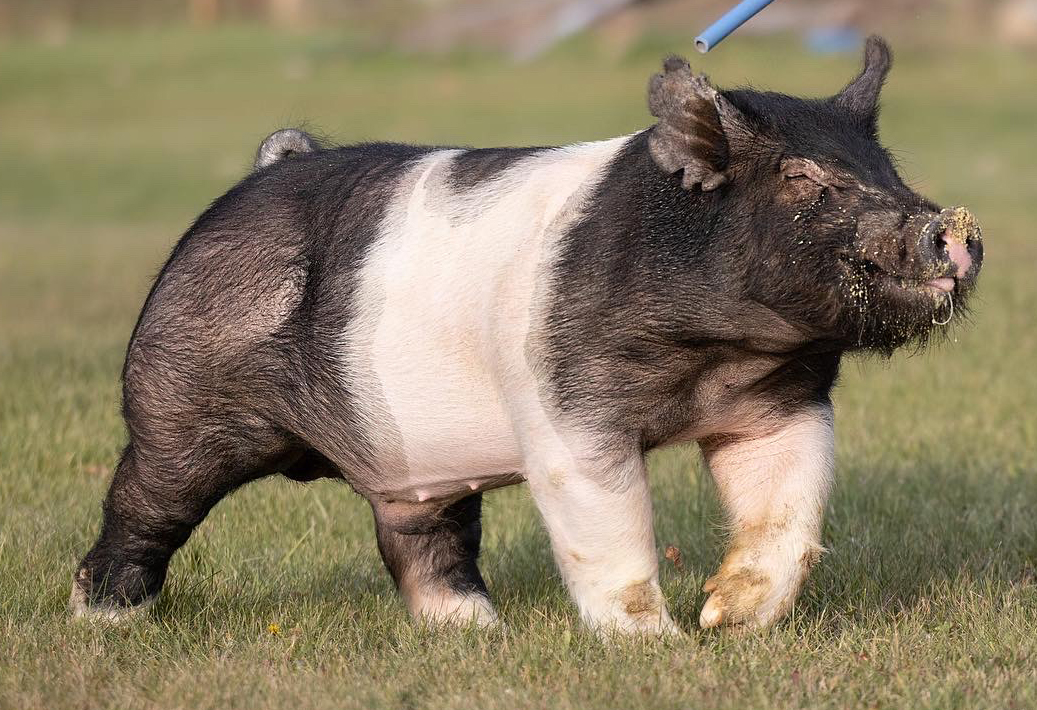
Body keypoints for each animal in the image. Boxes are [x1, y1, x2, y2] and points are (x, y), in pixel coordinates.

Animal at [71, 36, 982, 633]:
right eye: (800, 177)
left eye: (888, 170)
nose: (947, 228)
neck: (719, 359)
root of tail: (264, 171)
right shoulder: (568, 408)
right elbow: (610, 528)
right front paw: (657, 644)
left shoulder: (782, 408)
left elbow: (788, 513)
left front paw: (727, 622)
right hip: (179, 398)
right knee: (144, 502)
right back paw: (104, 619)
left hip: (412, 456)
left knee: (422, 536)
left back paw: (476, 632)